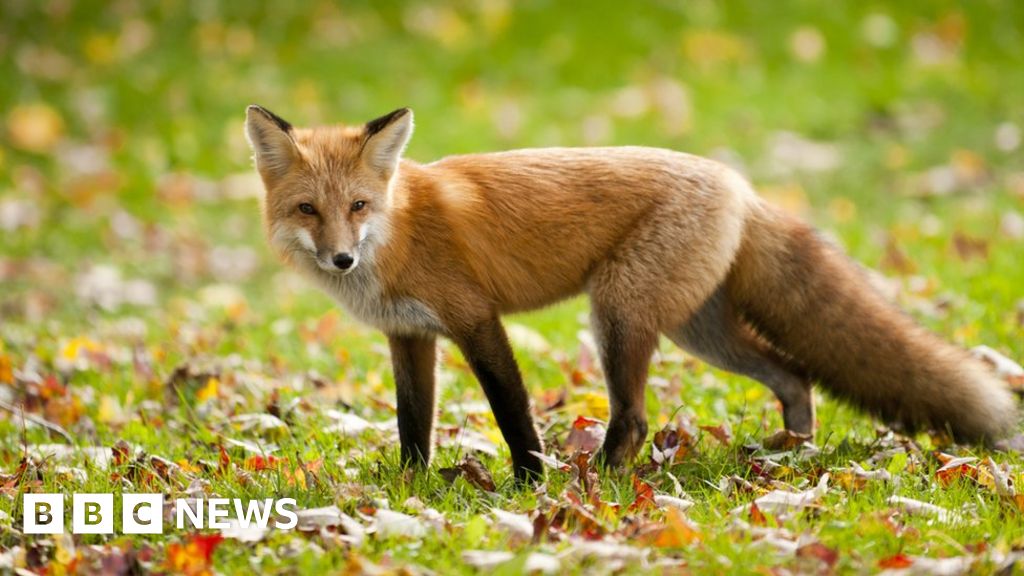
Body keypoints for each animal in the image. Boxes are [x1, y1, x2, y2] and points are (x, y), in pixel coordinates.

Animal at [245, 104, 1018, 481]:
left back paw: (600, 485)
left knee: (638, 419)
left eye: (360, 206)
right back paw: (790, 451)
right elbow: (413, 424)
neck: (400, 230)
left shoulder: (476, 320)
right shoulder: (409, 336)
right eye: (310, 210)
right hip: (697, 332)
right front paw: (411, 488)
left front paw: (529, 485)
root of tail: (738, 183)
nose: (342, 258)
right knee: (794, 374)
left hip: (618, 316)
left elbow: (512, 415)